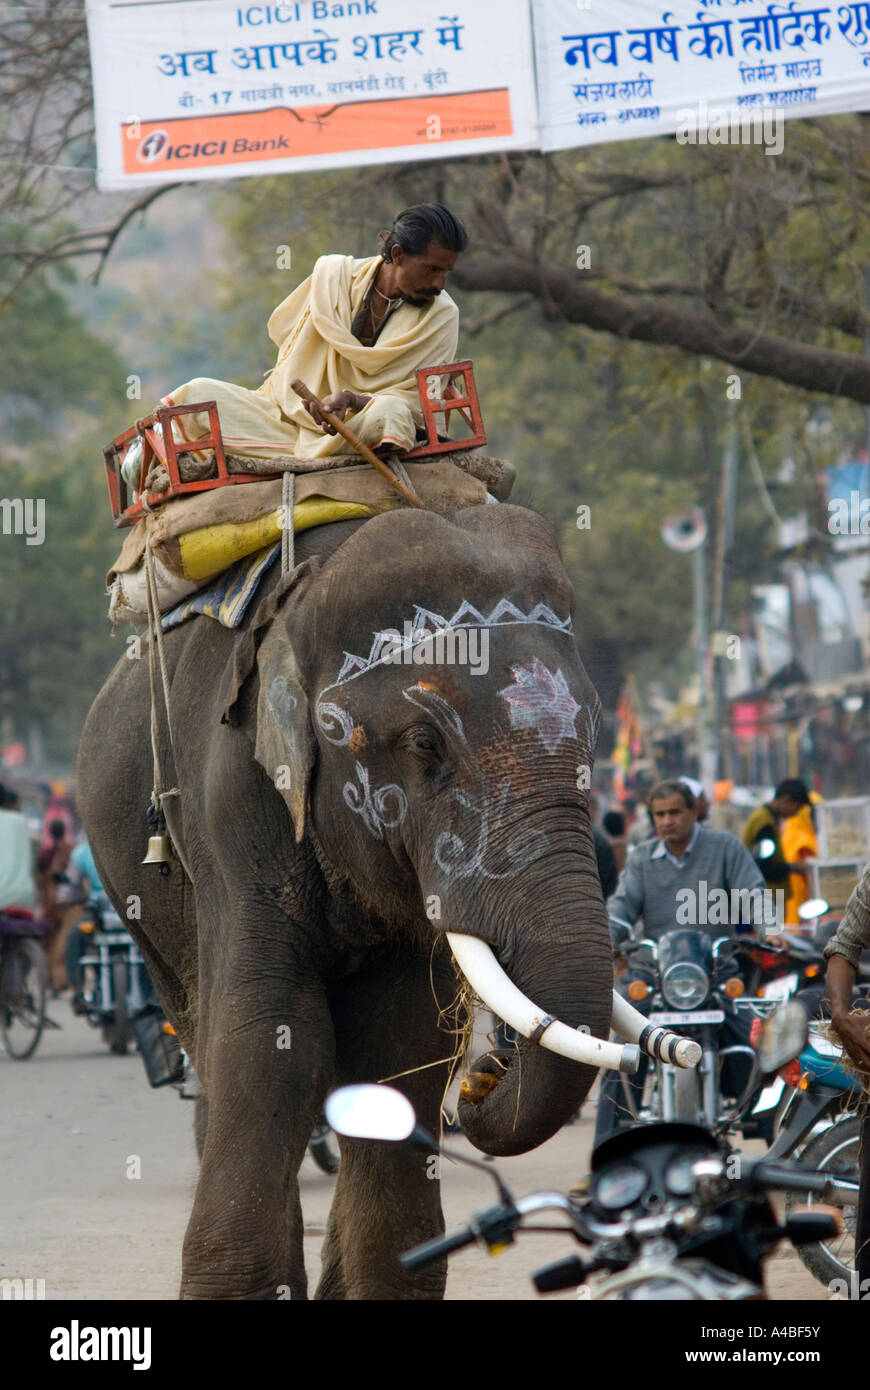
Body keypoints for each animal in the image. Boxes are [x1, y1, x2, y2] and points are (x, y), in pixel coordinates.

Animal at [77, 500, 636, 1300]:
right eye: (426, 744)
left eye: (594, 730)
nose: (487, 1076)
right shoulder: (232, 802)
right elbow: (273, 1042)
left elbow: (396, 1047)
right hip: (139, 898)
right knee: (211, 1047)